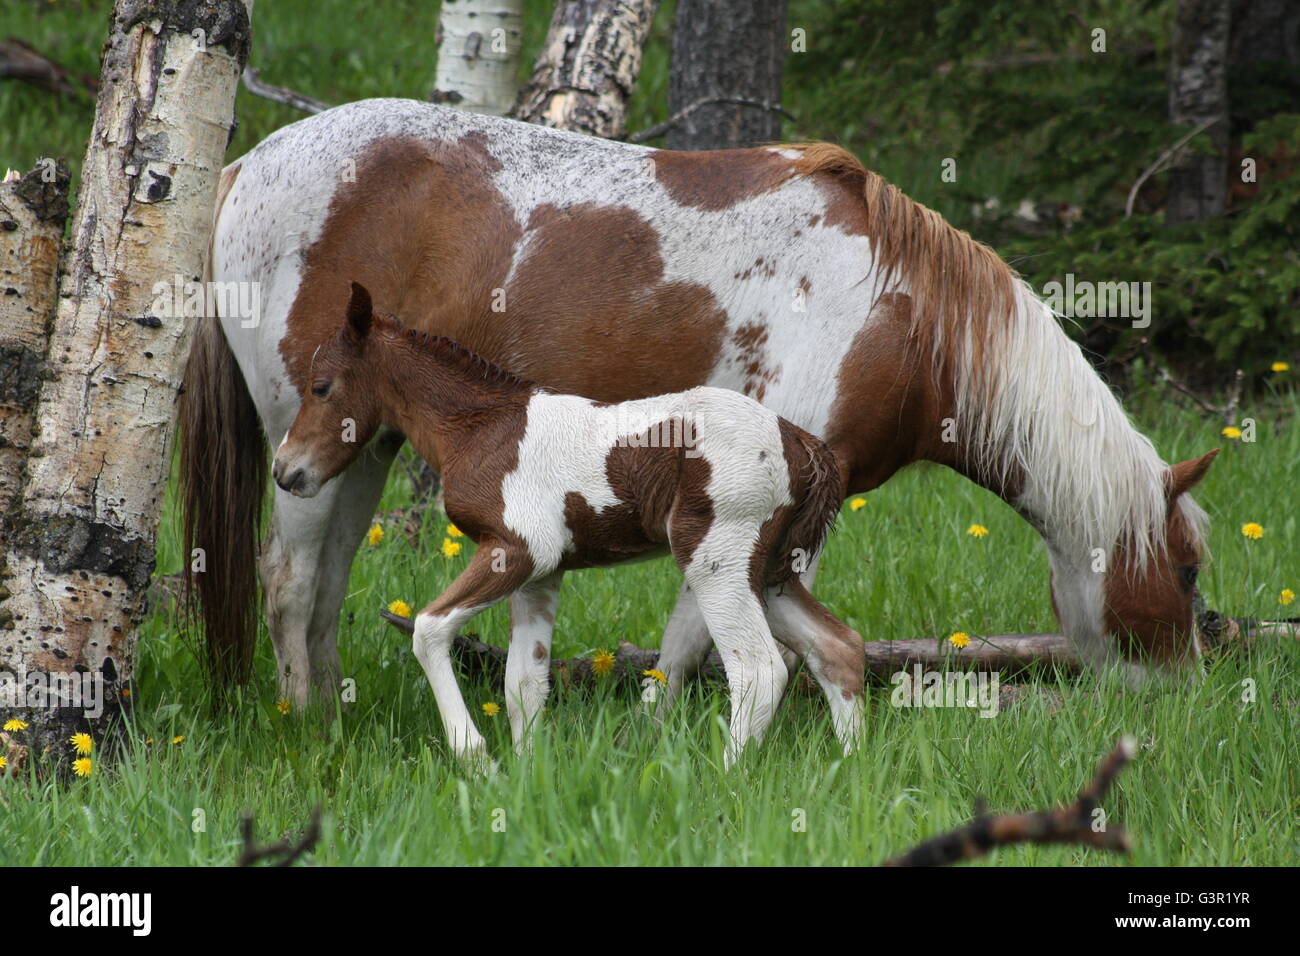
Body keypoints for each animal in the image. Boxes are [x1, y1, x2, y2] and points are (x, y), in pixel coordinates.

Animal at [181, 97, 1216, 712]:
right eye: (1189, 569)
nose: (1184, 696)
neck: (898, 310)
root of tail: (245, 165)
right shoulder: (746, 503)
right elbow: (703, 633)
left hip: (361, 445)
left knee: (323, 588)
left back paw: (329, 717)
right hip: (305, 450)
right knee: (290, 581)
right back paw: (307, 730)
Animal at [272, 281, 860, 766]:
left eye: (321, 387)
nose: (285, 470)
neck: (480, 429)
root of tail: (801, 445)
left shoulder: (518, 548)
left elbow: (429, 629)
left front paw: (476, 759)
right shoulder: (541, 574)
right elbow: (523, 683)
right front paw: (527, 779)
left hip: (716, 560)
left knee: (759, 669)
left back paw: (723, 779)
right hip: (767, 569)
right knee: (839, 649)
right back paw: (850, 768)